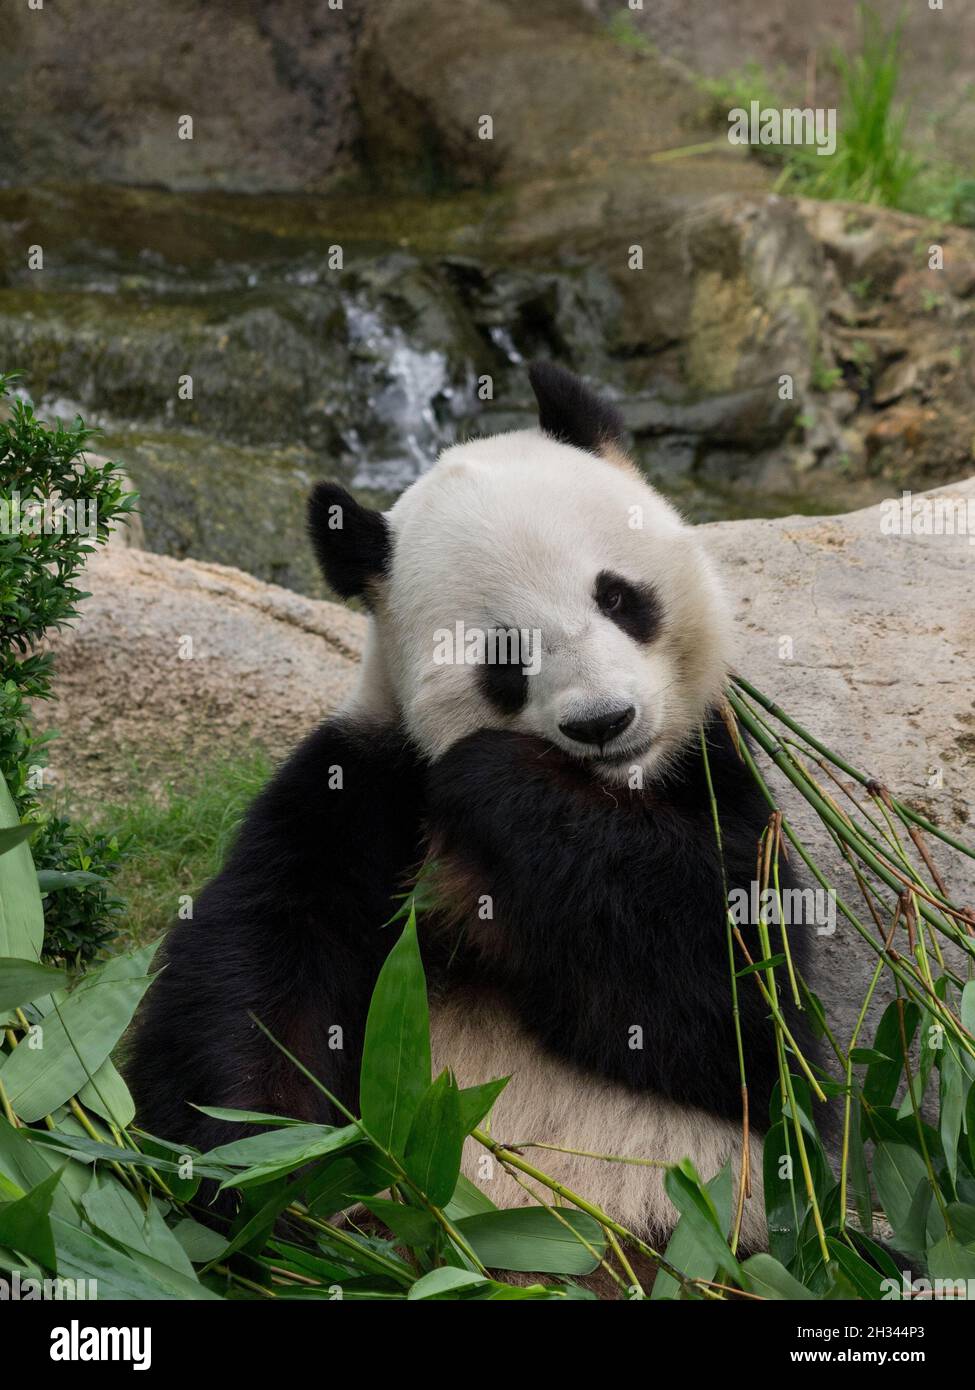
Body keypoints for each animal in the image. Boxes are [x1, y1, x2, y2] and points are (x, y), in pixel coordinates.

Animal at [127, 362, 814, 1254]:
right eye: (504, 656)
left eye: (618, 597)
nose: (602, 723)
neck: (609, 795)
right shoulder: (362, 784)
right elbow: (259, 968)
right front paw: (266, 1172)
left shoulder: (711, 777)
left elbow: (749, 1018)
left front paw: (496, 780)